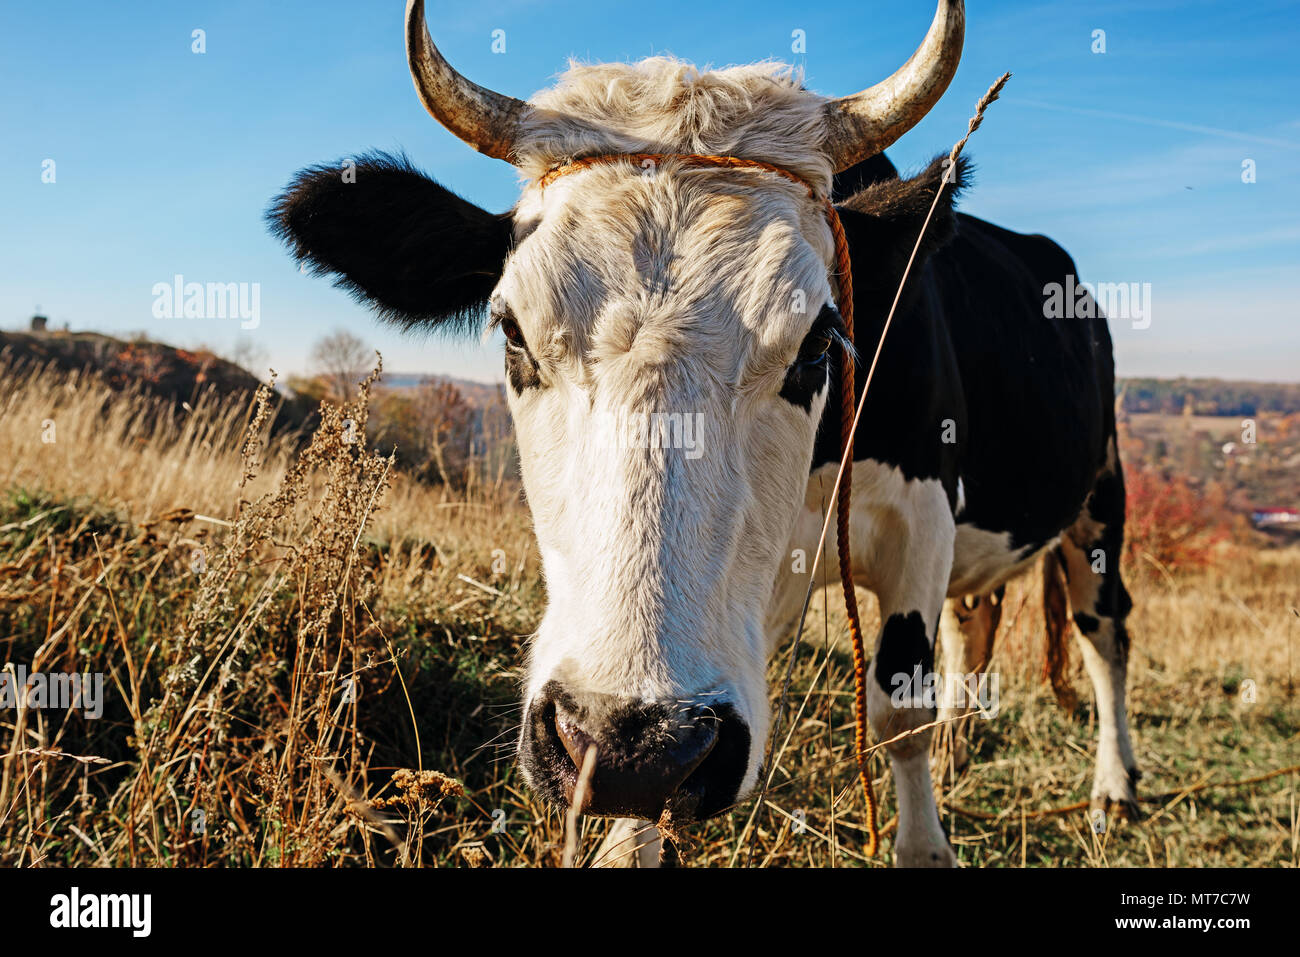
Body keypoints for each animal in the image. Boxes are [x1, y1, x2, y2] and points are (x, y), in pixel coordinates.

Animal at [268, 0, 1139, 867]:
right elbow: (639, 819)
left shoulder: (920, 517)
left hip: (1101, 493)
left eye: (819, 342)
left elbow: (900, 713)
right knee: (975, 619)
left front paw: (926, 846)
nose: (633, 744)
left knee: (1103, 629)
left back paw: (1114, 788)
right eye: (512, 331)